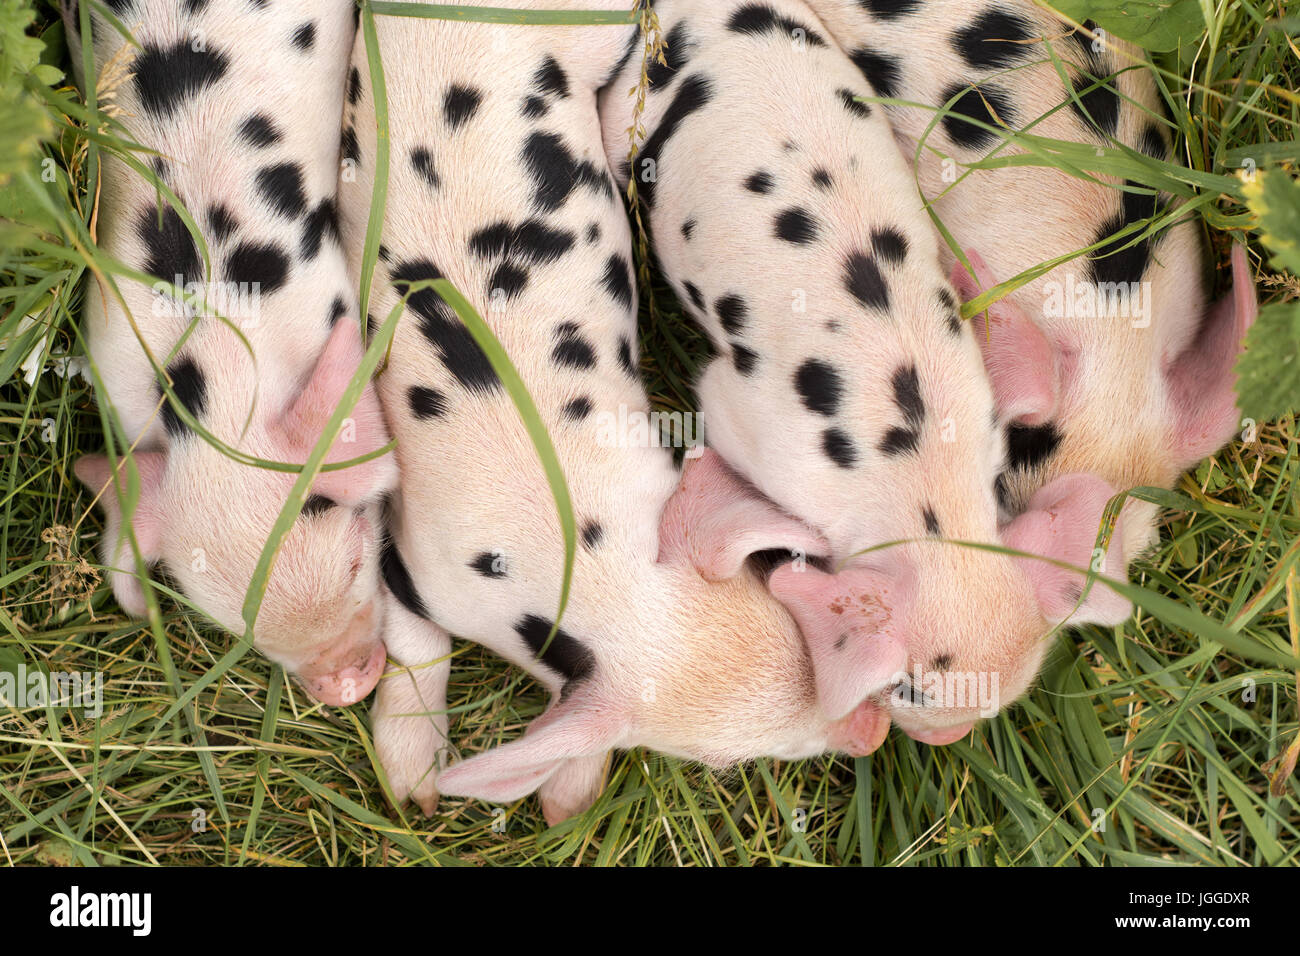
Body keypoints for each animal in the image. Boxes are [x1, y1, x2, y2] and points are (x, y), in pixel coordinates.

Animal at [337, 0, 890, 823]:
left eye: (789, 622)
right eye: (725, 762)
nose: (874, 730)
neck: (586, 564)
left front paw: (565, 804)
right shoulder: (415, 549)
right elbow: (415, 640)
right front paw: (416, 794)